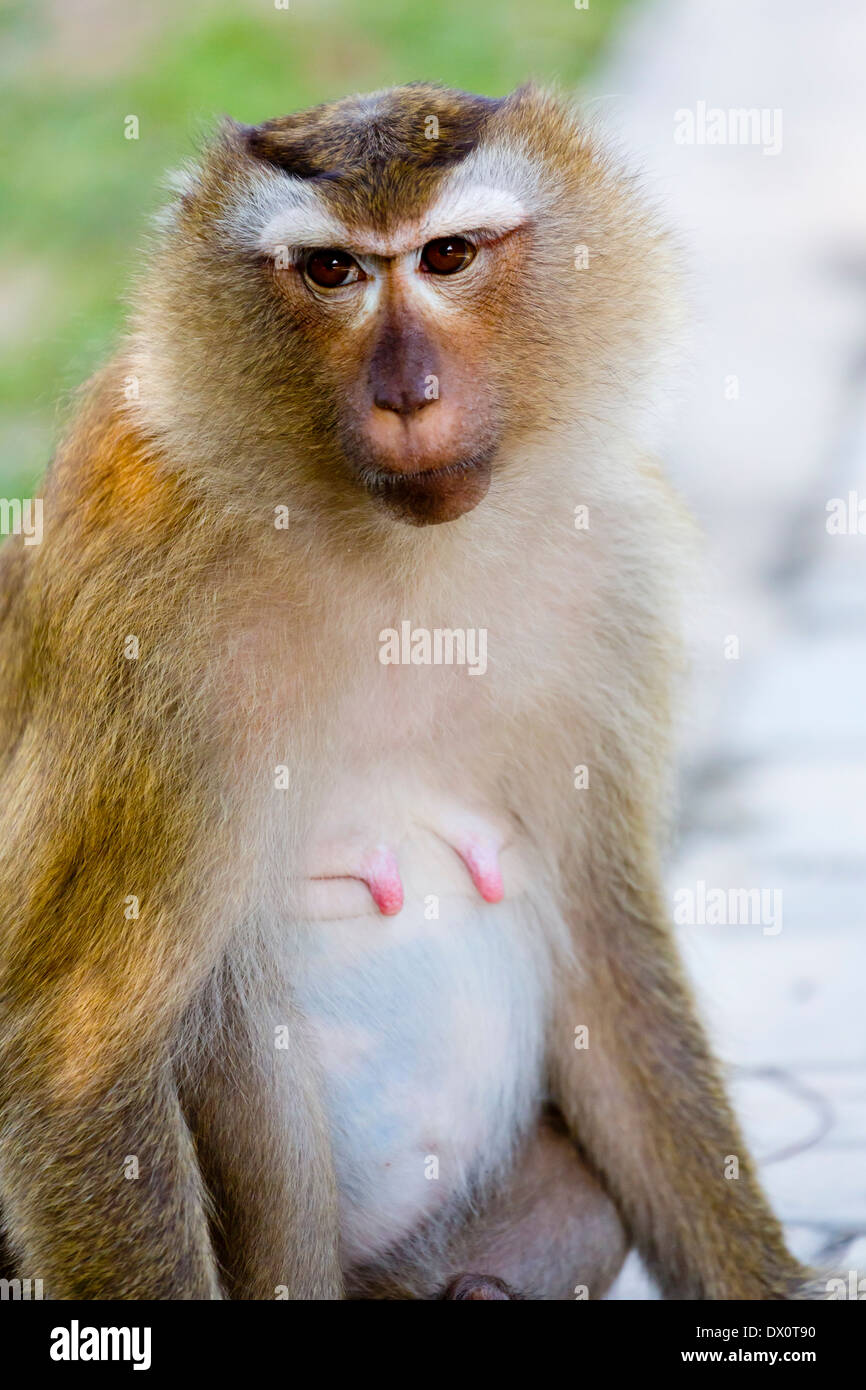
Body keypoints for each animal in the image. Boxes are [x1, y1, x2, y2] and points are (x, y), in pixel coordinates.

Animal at [0, 81, 814, 1301]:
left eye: (447, 255)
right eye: (333, 271)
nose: (407, 393)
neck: (400, 556)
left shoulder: (612, 568)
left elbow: (605, 952)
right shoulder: (149, 620)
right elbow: (77, 1054)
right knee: (230, 1019)